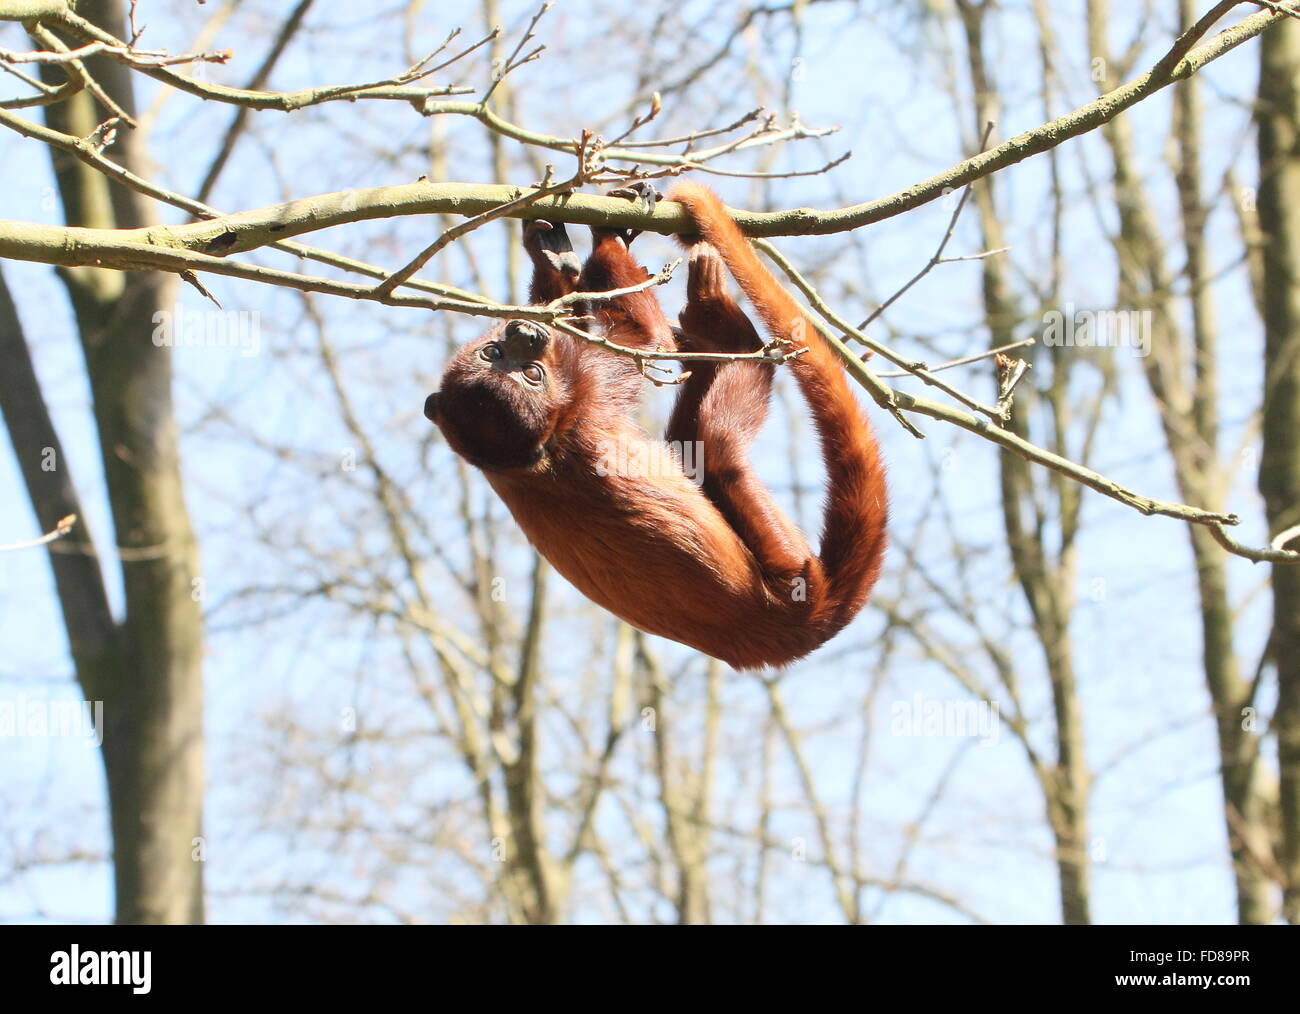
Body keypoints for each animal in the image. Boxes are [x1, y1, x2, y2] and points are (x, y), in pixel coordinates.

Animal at [424, 182, 887, 669]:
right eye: (532, 375)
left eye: (494, 354)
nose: (525, 335)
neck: (531, 452)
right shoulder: (590, 394)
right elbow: (642, 337)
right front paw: (607, 239)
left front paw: (553, 261)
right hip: (789, 573)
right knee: (716, 445)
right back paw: (723, 327)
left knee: (689, 442)